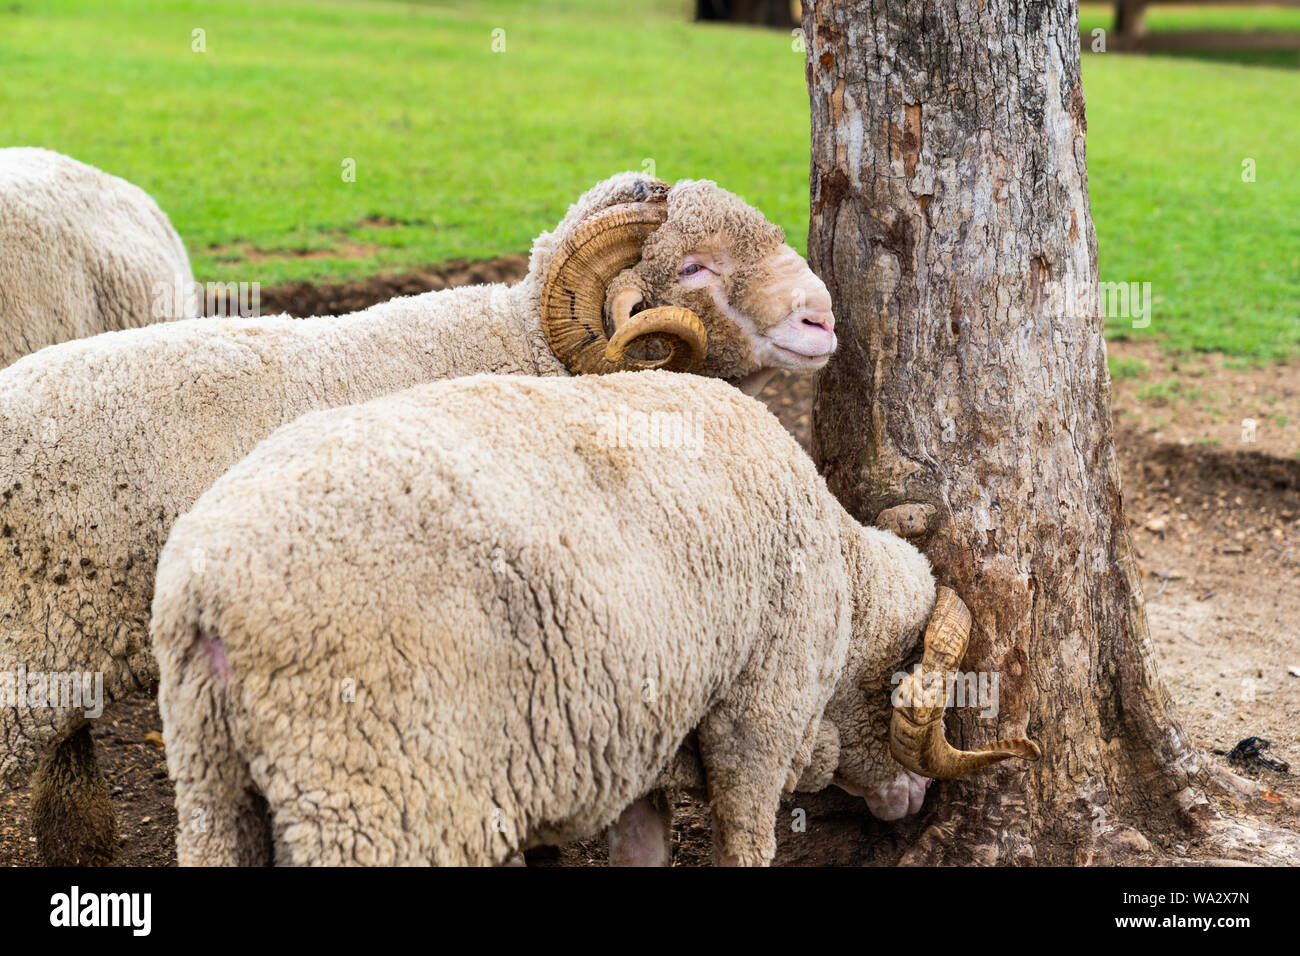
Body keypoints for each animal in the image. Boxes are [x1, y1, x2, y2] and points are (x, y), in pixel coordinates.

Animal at [150, 371, 1040, 866]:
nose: (918, 803)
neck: (845, 592)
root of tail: (208, 585)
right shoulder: (757, 714)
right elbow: (747, 840)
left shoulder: (643, 730)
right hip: (379, 787)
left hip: (210, 779)